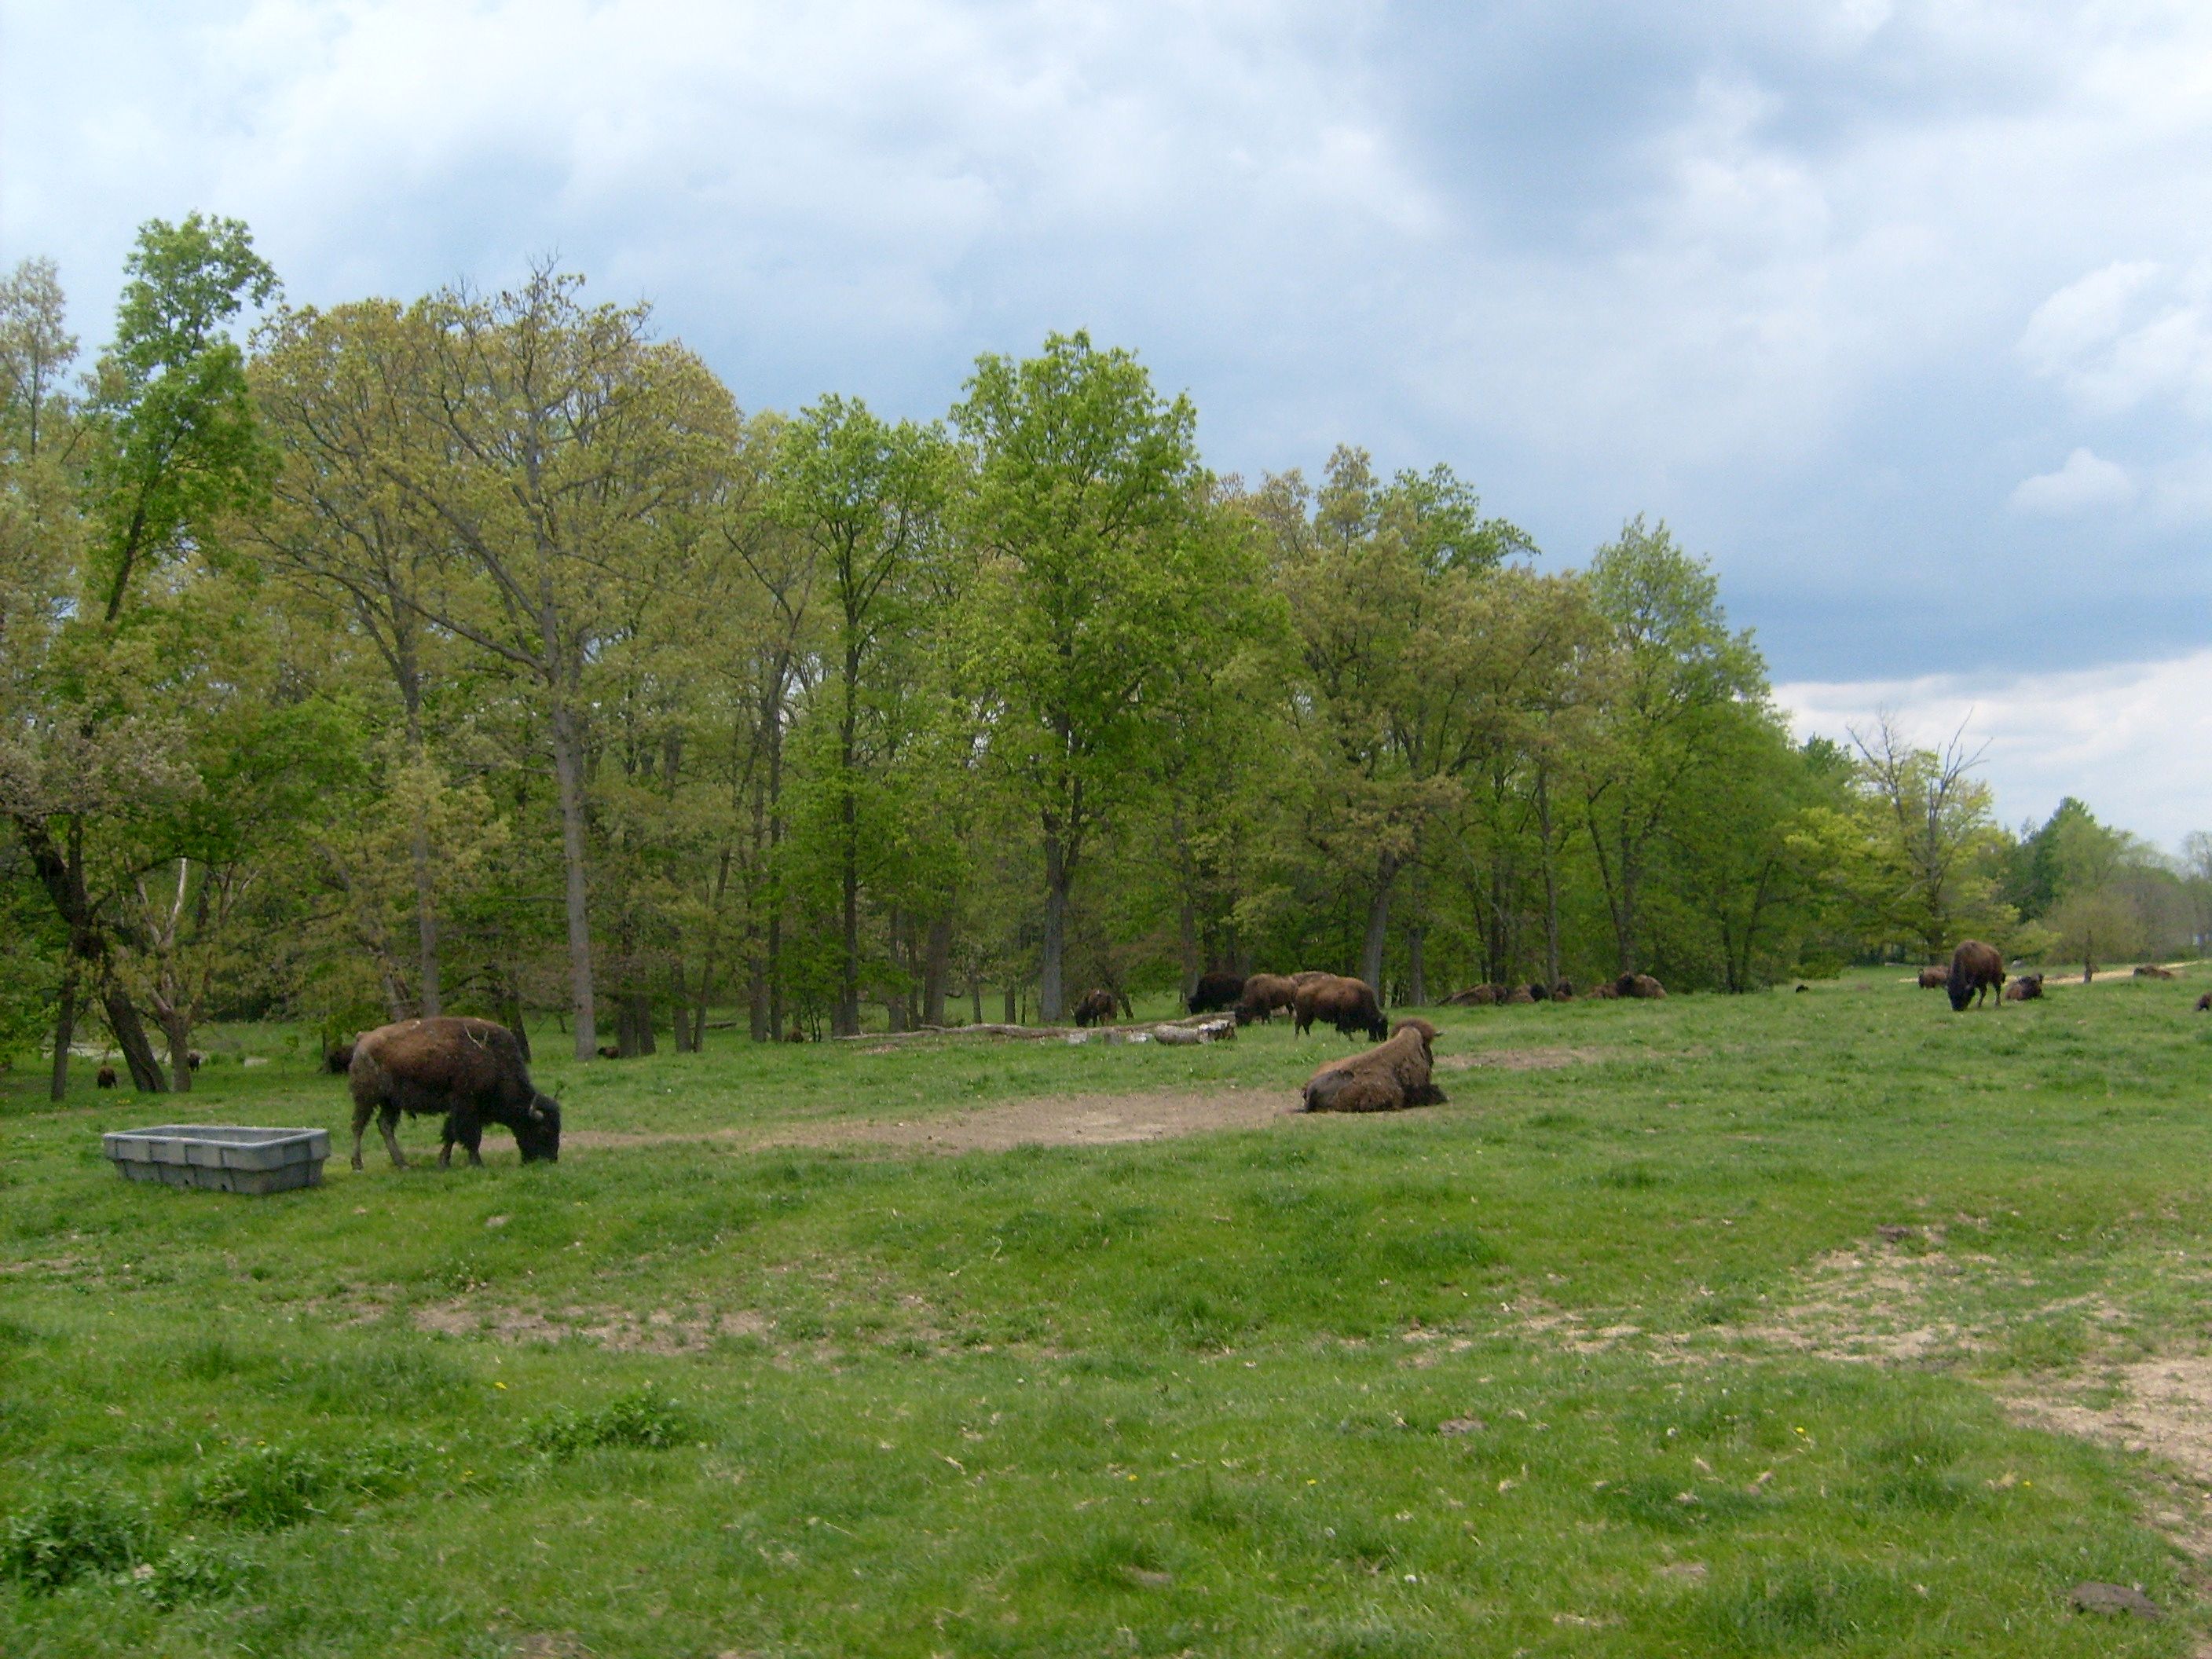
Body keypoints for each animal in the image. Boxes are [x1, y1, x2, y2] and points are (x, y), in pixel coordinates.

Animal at [348, 1016, 562, 1171]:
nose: (551, 1159)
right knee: (358, 1126)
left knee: (385, 1125)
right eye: (544, 1130)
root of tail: (363, 1039)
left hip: (391, 1102)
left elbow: (451, 1133)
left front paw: (443, 1162)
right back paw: (358, 1165)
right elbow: (471, 1136)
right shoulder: (466, 1105)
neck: (495, 1060)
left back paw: (403, 1164)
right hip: (367, 1097)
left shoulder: (464, 1109)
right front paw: (477, 1163)